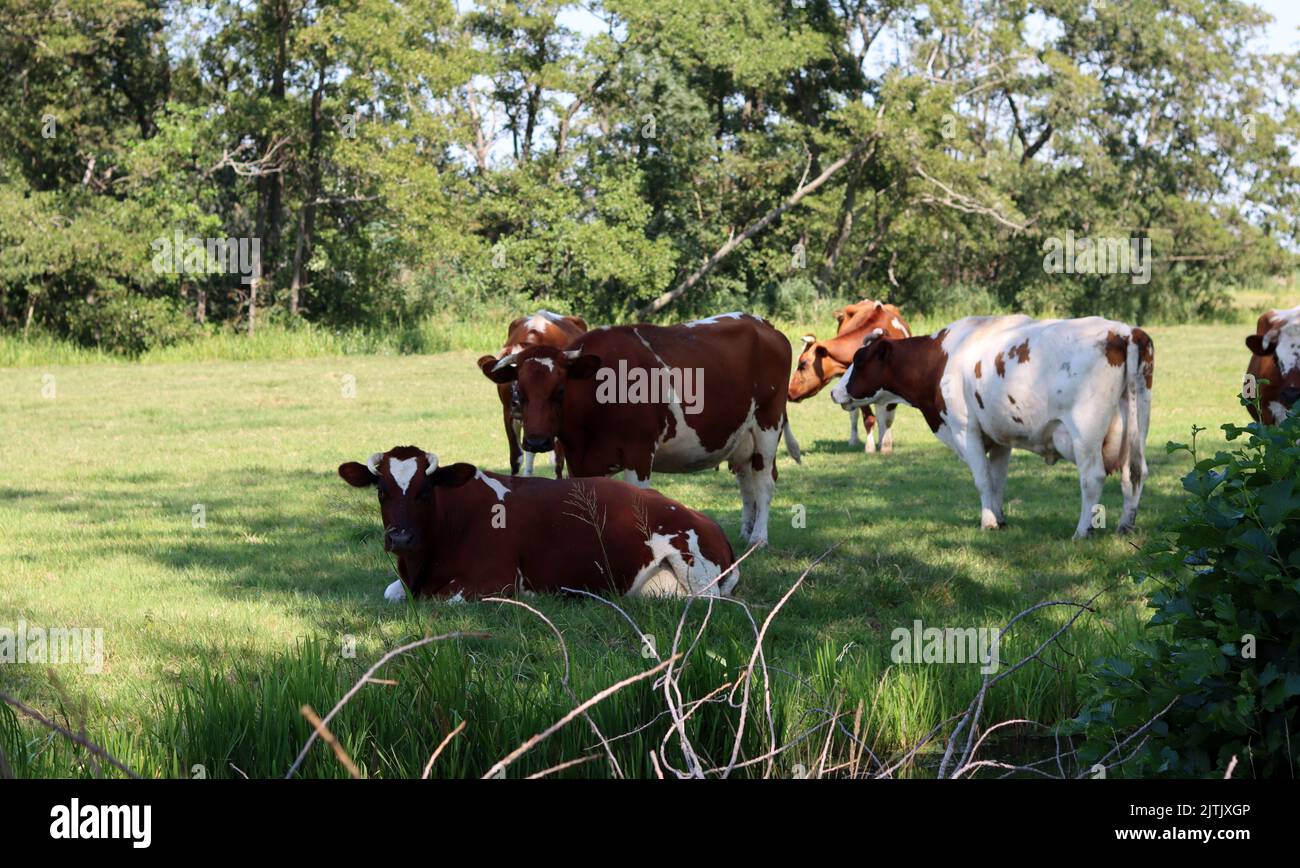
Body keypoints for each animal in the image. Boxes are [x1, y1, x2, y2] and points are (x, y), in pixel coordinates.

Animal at [338, 446, 738, 601]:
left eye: (424, 491)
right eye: (381, 491)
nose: (401, 538)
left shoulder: (495, 580)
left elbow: (443, 599)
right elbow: (391, 593)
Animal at [789, 300, 911, 452]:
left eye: (803, 363)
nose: (789, 391)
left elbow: (887, 418)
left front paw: (885, 445)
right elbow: (868, 418)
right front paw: (870, 447)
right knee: (854, 414)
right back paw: (854, 440)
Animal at [830, 315, 1154, 539]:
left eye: (859, 360)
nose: (835, 392)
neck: (942, 358)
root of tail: (1124, 331)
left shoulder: (965, 430)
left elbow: (983, 479)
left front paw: (987, 522)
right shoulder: (1000, 437)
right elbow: (998, 480)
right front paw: (999, 518)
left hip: (1085, 434)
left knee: (1093, 478)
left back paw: (1082, 531)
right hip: (1137, 426)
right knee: (1134, 474)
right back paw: (1125, 526)